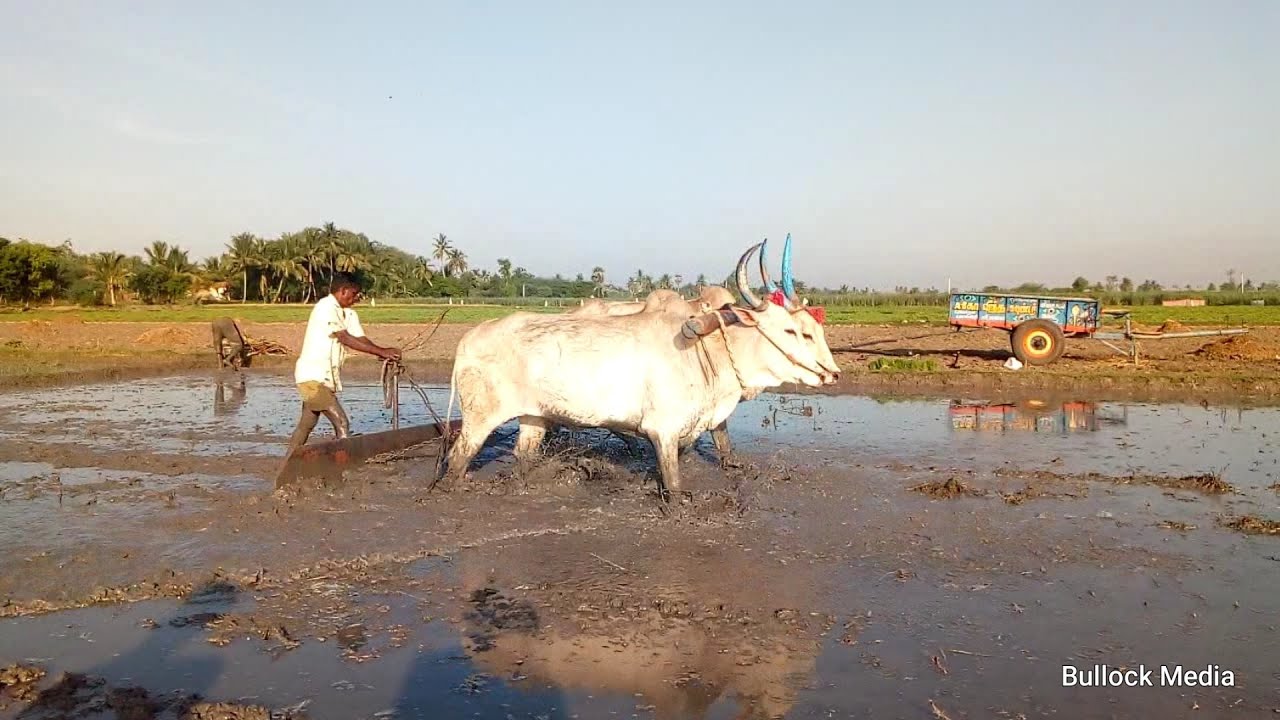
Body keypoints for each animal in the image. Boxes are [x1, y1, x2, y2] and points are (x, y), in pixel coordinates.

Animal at [440, 243, 829, 498]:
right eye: (794, 331)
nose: (832, 372)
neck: (705, 349)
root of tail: (468, 338)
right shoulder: (665, 428)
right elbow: (674, 486)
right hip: (480, 419)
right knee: (455, 461)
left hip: (533, 417)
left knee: (523, 455)